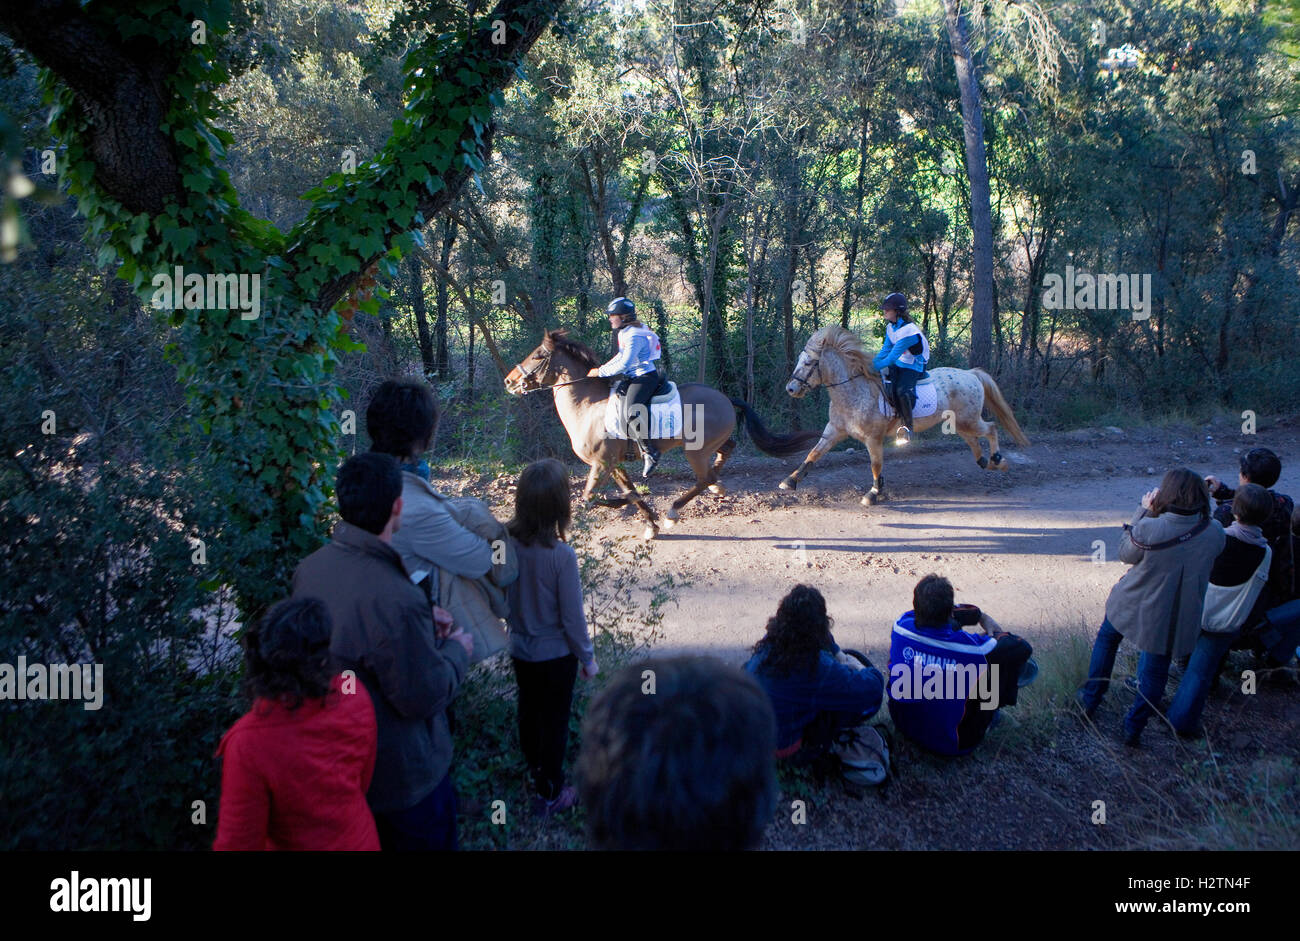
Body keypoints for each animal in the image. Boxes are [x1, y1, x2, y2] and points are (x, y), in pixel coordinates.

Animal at [504, 329, 821, 539]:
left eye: (538, 355)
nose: (509, 380)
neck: (587, 407)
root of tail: (724, 397)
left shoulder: (602, 464)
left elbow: (592, 498)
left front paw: (641, 512)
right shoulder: (614, 465)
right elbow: (629, 491)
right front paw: (649, 523)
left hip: (694, 450)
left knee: (703, 478)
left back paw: (676, 510)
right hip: (708, 445)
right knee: (726, 451)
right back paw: (716, 486)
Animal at [780, 324, 1030, 505]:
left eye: (809, 363)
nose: (790, 389)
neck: (853, 391)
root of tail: (971, 374)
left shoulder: (873, 438)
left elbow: (876, 464)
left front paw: (873, 493)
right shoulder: (834, 430)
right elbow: (814, 452)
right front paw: (790, 480)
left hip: (969, 420)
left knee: (991, 428)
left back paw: (998, 460)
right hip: (960, 423)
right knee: (974, 442)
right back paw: (987, 462)